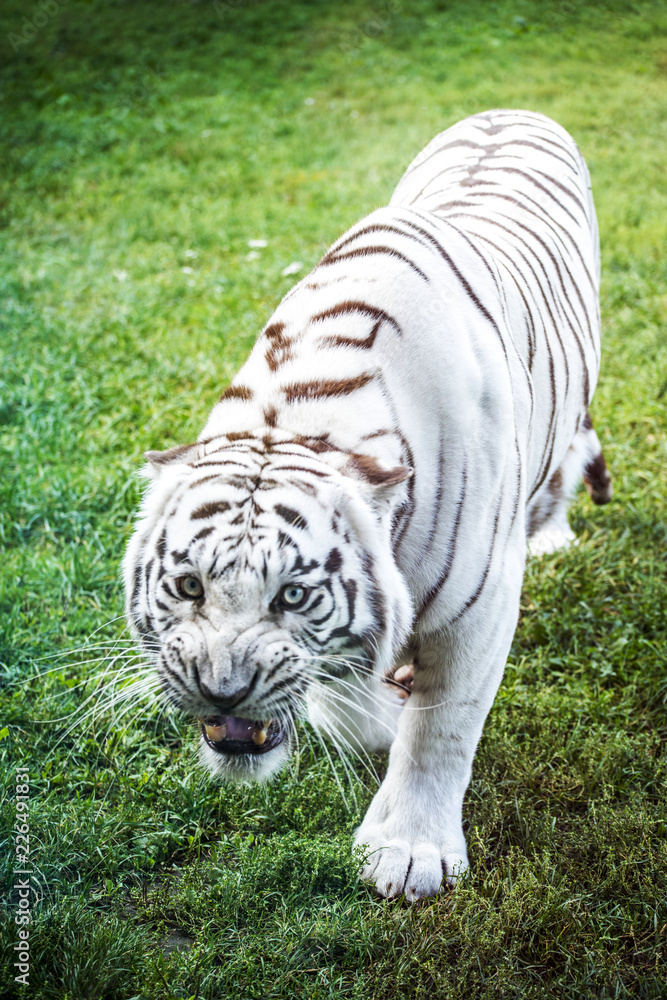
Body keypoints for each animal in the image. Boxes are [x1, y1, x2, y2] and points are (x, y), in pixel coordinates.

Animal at [123, 109, 612, 901]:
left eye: (293, 595)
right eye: (189, 586)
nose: (223, 695)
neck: (296, 415)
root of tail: (507, 110)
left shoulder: (480, 606)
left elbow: (440, 730)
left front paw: (409, 852)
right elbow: (353, 709)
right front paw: (382, 709)